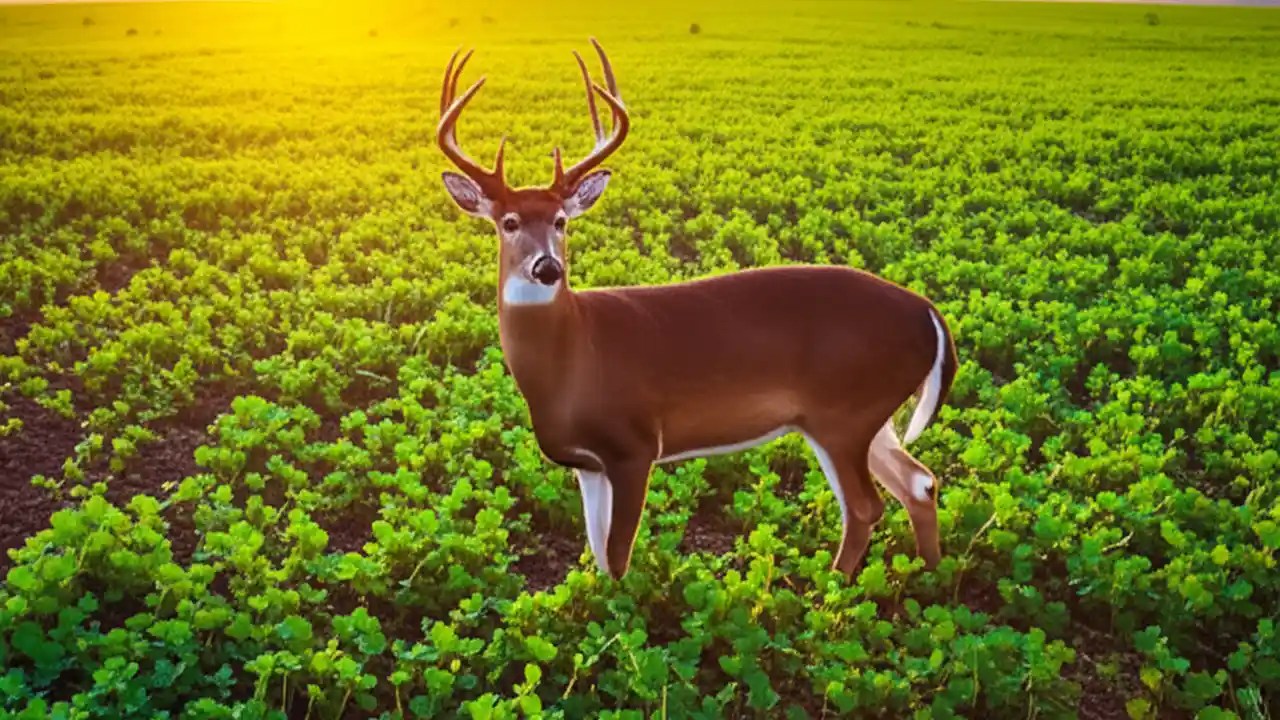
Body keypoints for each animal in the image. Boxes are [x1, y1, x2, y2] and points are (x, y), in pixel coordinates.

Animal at [435, 38, 959, 582]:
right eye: (510, 222)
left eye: (560, 220)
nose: (547, 267)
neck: (573, 358)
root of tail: (929, 312)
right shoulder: (587, 463)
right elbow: (597, 553)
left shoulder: (636, 443)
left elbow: (617, 555)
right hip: (869, 414)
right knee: (919, 482)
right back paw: (929, 576)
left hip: (843, 412)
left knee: (864, 505)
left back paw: (831, 588)